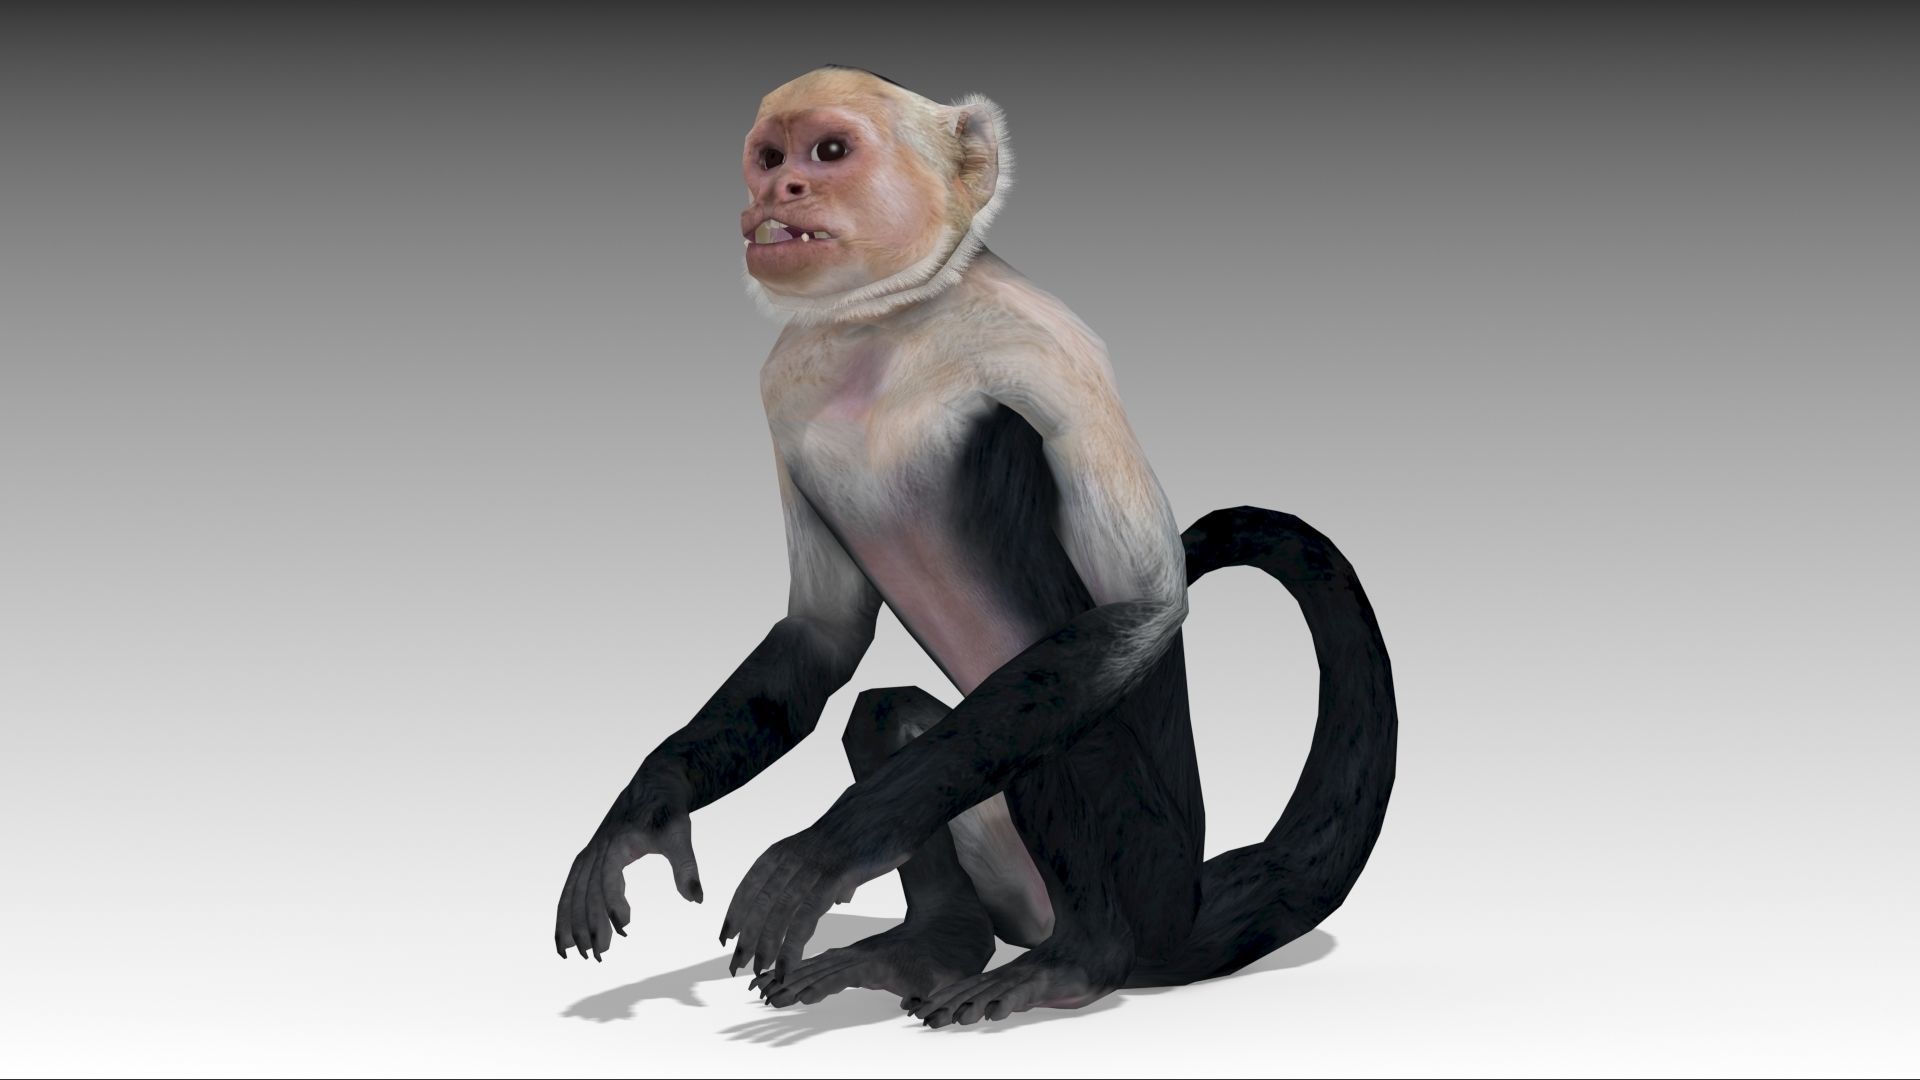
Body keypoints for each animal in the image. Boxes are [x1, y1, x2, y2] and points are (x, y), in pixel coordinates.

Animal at [554, 66, 1397, 1027]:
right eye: (769, 157)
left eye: (828, 152)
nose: (779, 191)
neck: (886, 324)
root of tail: (1182, 909)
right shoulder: (779, 388)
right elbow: (823, 637)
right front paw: (644, 813)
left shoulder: (1046, 345)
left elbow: (1143, 607)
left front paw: (828, 848)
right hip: (1002, 864)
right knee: (889, 713)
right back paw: (931, 945)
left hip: (1147, 873)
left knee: (1057, 697)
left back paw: (1079, 965)